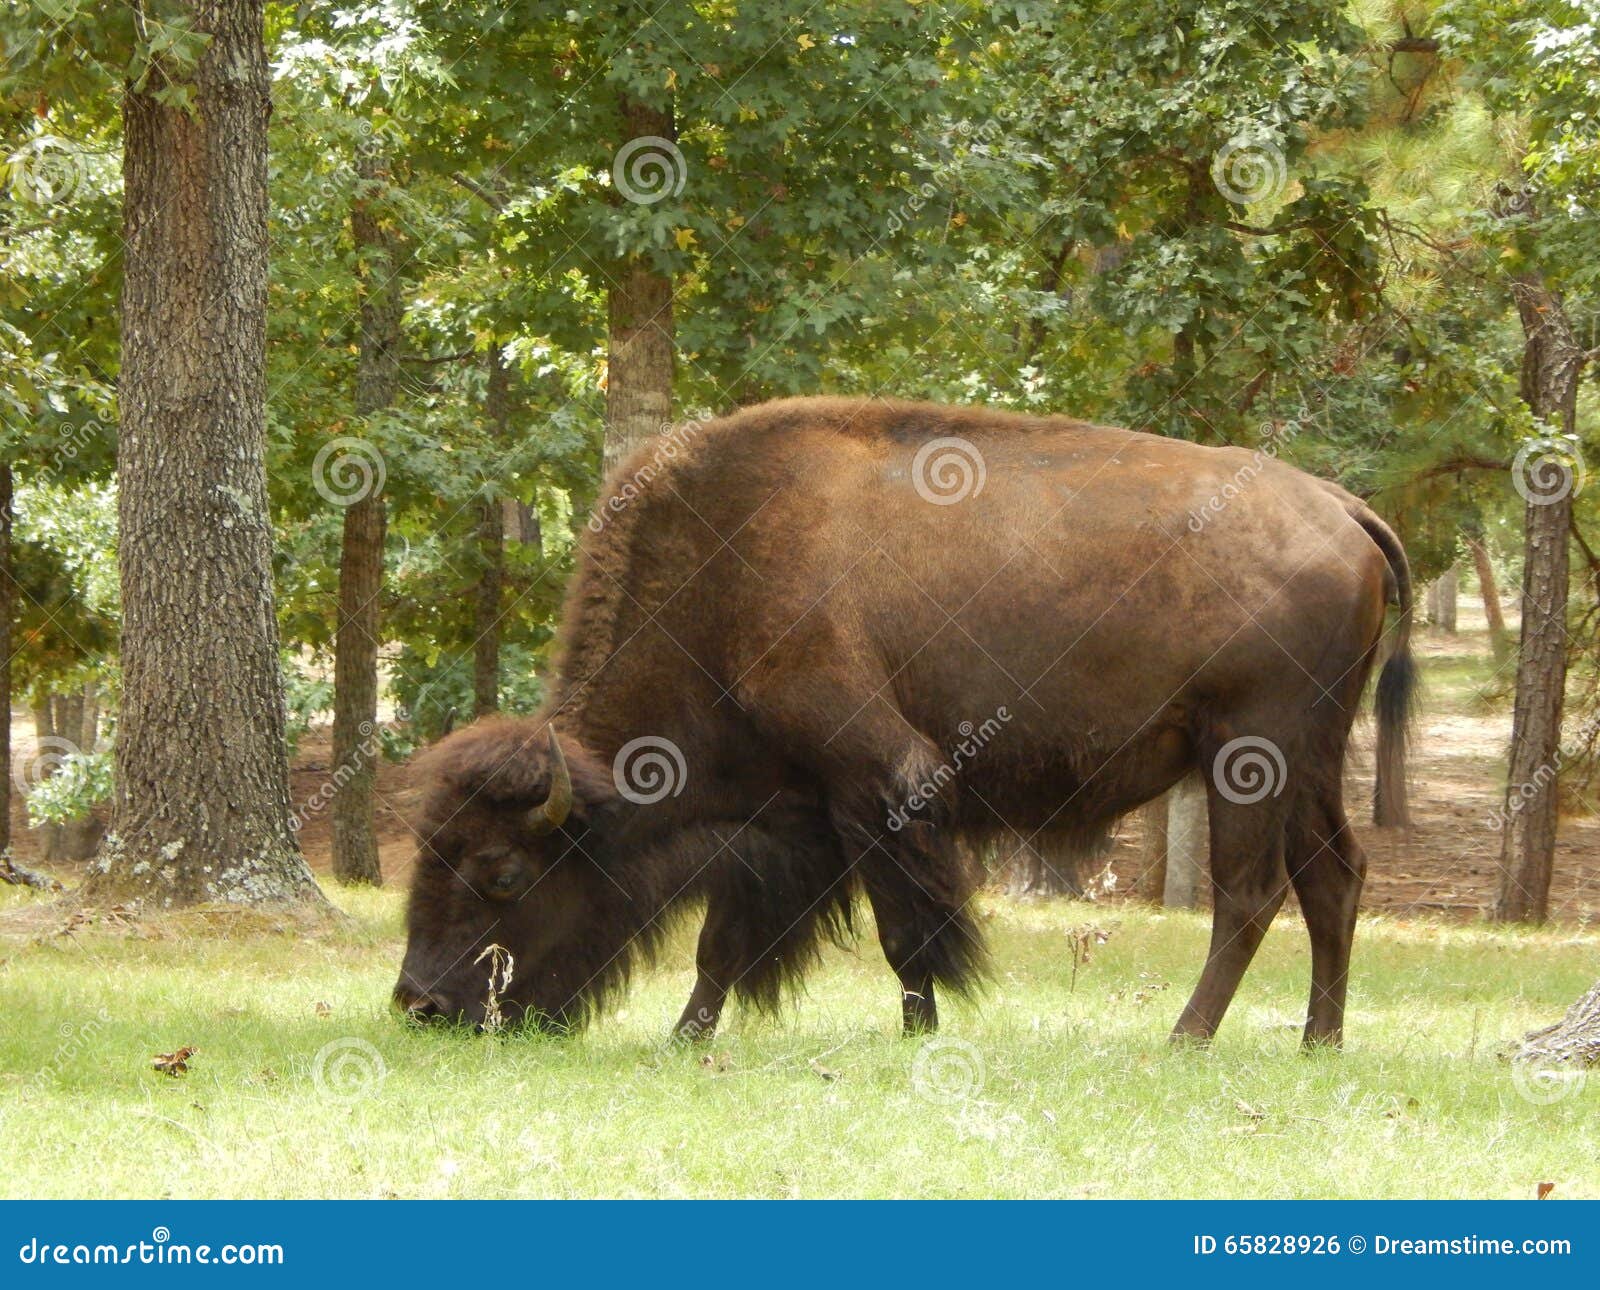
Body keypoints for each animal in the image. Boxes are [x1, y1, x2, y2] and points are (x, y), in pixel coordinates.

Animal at [395, 397, 1413, 1048]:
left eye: (500, 870)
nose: (419, 1006)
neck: (729, 580)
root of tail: (1345, 509)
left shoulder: (876, 784)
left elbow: (904, 932)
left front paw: (919, 1031)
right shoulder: (789, 819)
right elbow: (726, 943)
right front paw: (686, 1038)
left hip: (1250, 751)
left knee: (1249, 895)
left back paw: (1186, 1038)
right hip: (1309, 760)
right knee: (1334, 879)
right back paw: (1319, 1041)